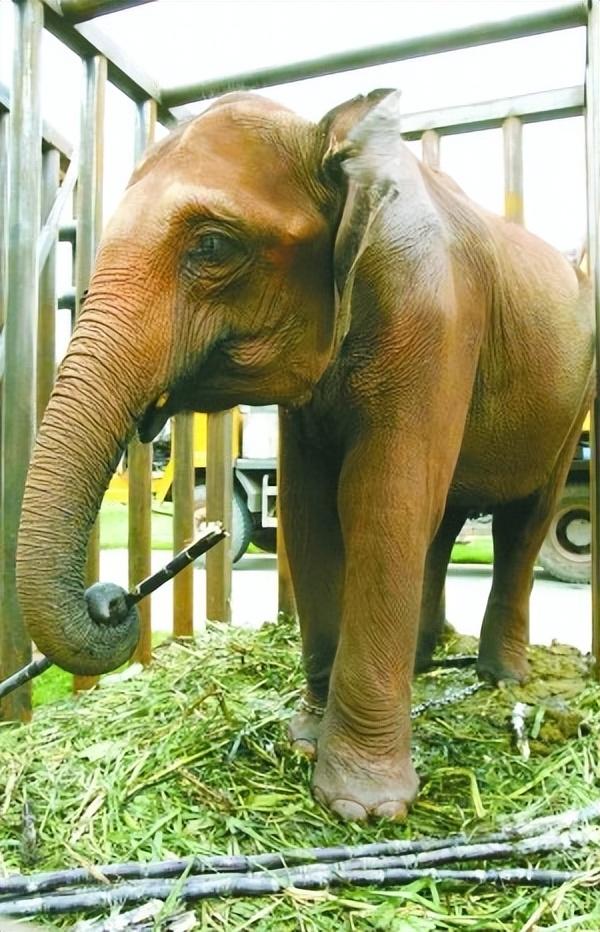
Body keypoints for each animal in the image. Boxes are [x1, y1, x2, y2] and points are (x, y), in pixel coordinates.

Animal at [16, 89, 594, 822]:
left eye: (212, 246)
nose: (112, 601)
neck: (334, 143)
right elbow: (309, 508)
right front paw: (304, 738)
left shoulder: (434, 316)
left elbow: (381, 497)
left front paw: (362, 808)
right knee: (441, 520)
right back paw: (421, 662)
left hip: (572, 400)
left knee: (524, 520)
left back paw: (502, 679)